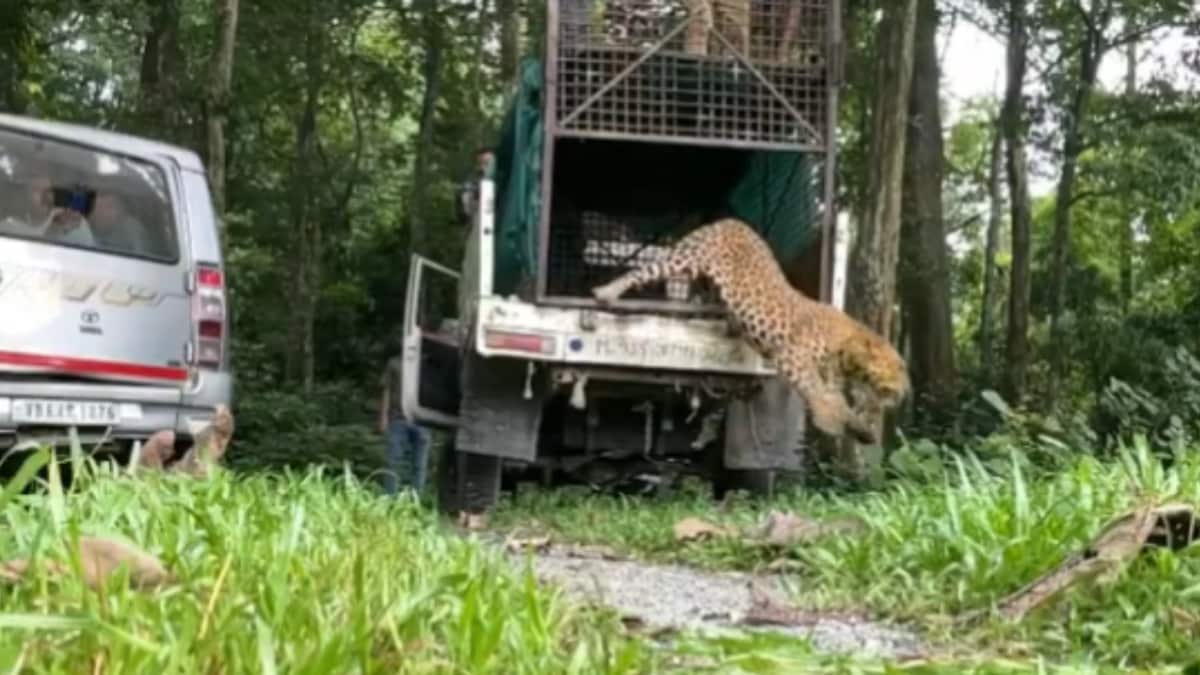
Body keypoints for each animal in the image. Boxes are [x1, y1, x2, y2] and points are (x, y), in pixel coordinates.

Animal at [590, 217, 909, 445]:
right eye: (899, 366)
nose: (907, 389)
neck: (846, 351)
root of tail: (731, 221)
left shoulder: (828, 375)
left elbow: (836, 400)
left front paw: (858, 429)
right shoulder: (793, 355)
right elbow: (814, 389)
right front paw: (829, 421)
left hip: (706, 279)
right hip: (686, 257)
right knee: (643, 271)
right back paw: (606, 291)